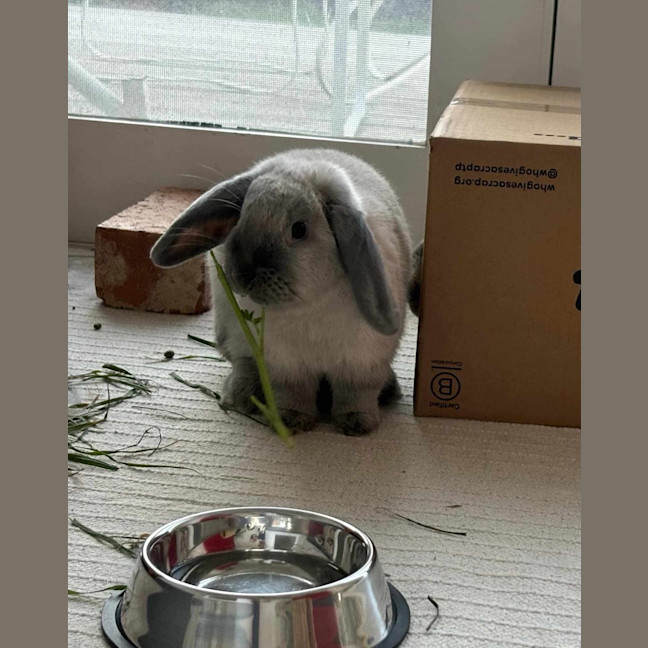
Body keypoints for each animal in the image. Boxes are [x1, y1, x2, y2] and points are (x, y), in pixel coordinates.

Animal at [150, 148, 412, 436]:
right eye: (241, 217)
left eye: (299, 229)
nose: (242, 275)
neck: (308, 305)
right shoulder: (285, 366)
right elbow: (293, 393)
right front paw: (292, 421)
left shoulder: (361, 364)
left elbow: (356, 395)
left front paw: (358, 425)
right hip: (233, 336)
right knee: (243, 364)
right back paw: (243, 397)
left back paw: (389, 392)